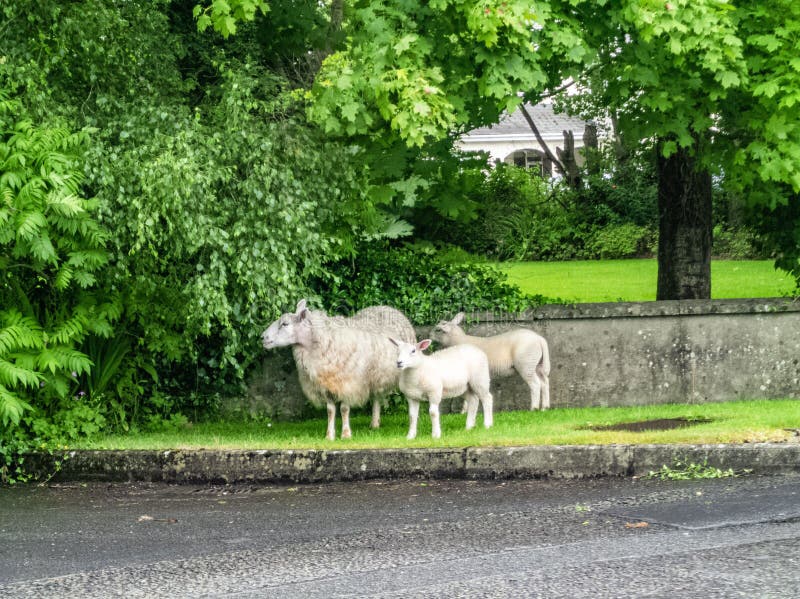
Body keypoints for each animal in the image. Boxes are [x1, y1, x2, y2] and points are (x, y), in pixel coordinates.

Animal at [261, 300, 416, 440]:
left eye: (285, 324)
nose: (262, 337)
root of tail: (388, 307)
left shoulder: (347, 383)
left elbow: (344, 409)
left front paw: (346, 434)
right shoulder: (326, 385)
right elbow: (330, 411)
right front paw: (329, 435)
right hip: (374, 375)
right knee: (376, 397)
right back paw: (374, 424)